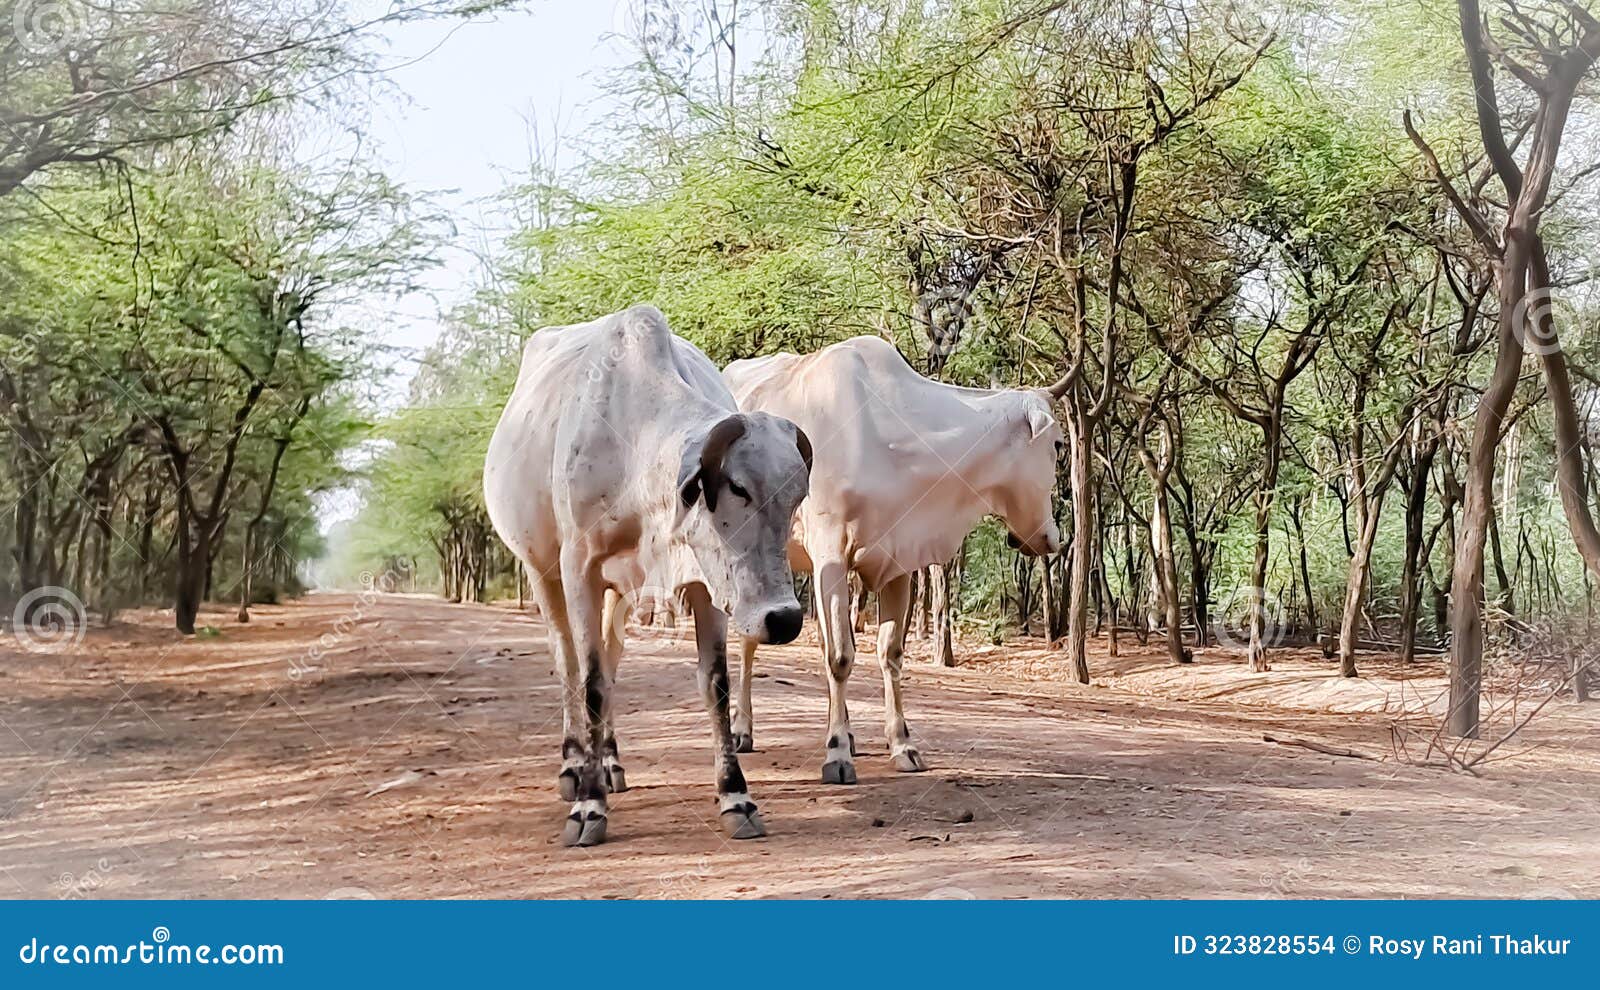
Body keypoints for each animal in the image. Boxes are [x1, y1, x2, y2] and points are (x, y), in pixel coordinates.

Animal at [484, 305, 812, 847]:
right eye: (737, 487)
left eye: (796, 497)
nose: (783, 619)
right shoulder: (579, 570)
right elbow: (591, 682)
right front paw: (588, 807)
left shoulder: (705, 583)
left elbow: (714, 682)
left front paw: (736, 797)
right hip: (540, 569)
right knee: (568, 664)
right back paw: (575, 765)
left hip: (619, 592)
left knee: (612, 662)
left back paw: (609, 760)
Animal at [724, 336, 1063, 784]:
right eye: (1058, 444)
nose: (1051, 537)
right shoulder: (831, 556)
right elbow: (840, 656)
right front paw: (836, 754)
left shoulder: (898, 561)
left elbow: (889, 654)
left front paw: (902, 745)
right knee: (748, 639)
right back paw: (743, 729)